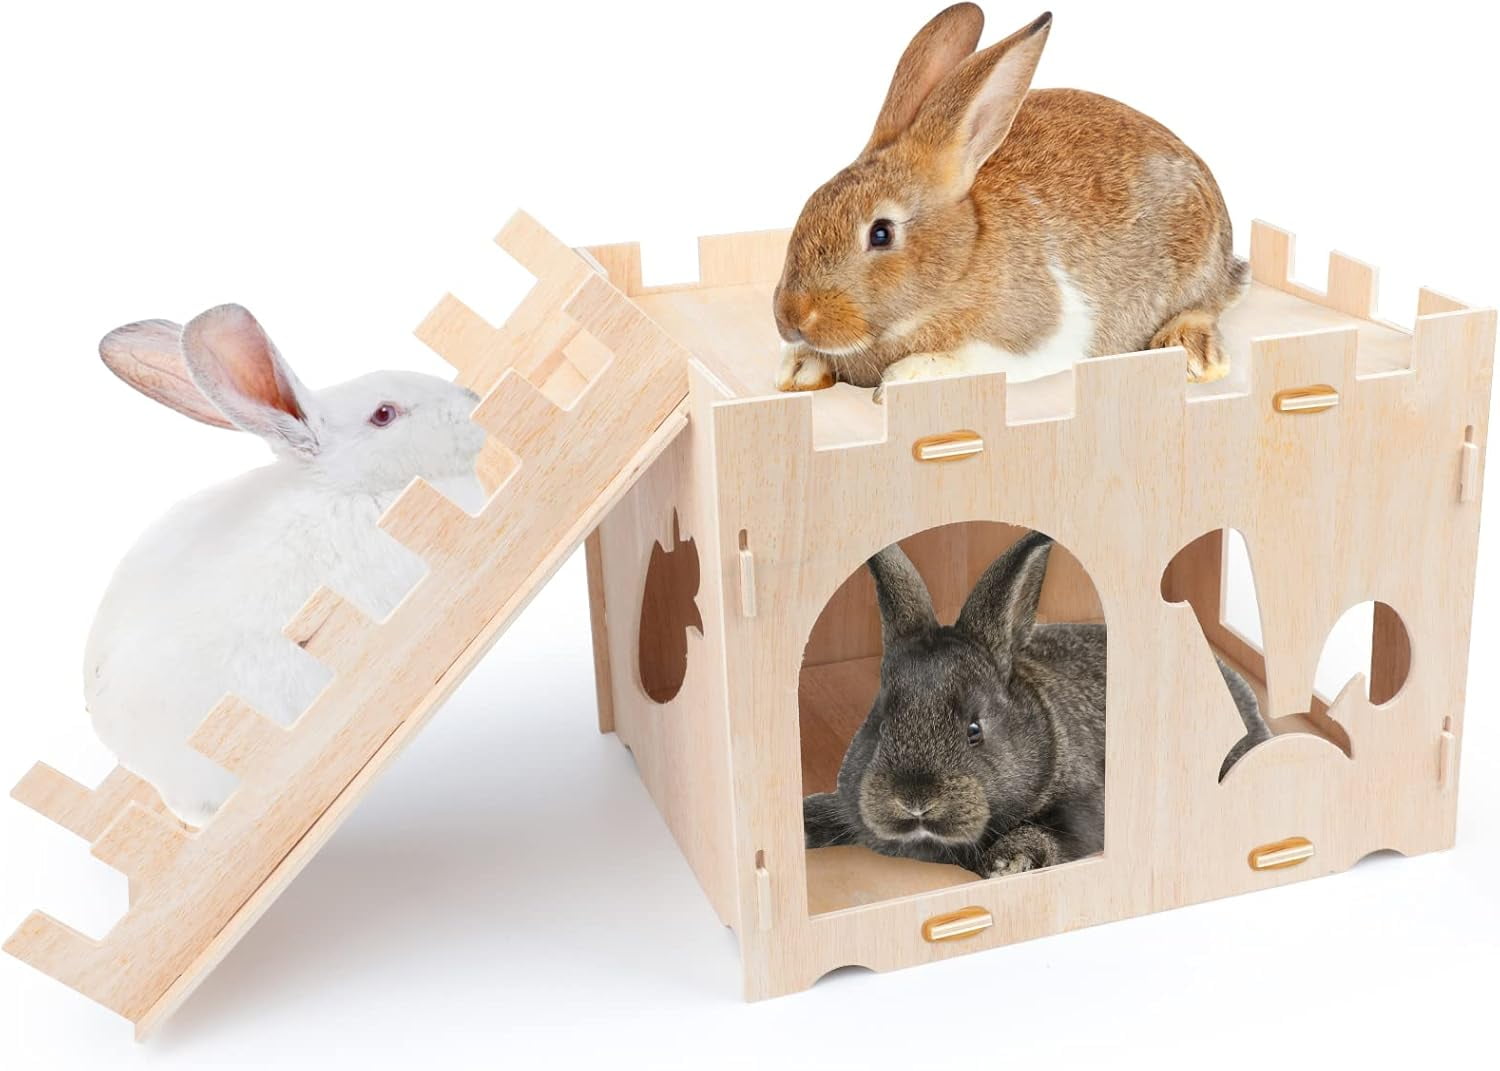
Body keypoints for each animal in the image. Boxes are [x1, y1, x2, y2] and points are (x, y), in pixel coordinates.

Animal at [773, 4, 1247, 395]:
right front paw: (798, 371)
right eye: (811, 203)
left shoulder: (1038, 335)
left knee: (1207, 305)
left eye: (881, 233)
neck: (959, 263)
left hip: (1196, 266)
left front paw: (904, 376)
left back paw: (1191, 354)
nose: (791, 317)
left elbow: (972, 359)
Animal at [803, 532, 1269, 877]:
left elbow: (1049, 836)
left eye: (974, 730)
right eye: (879, 724)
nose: (914, 800)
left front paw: (1009, 862)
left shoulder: (1084, 812)